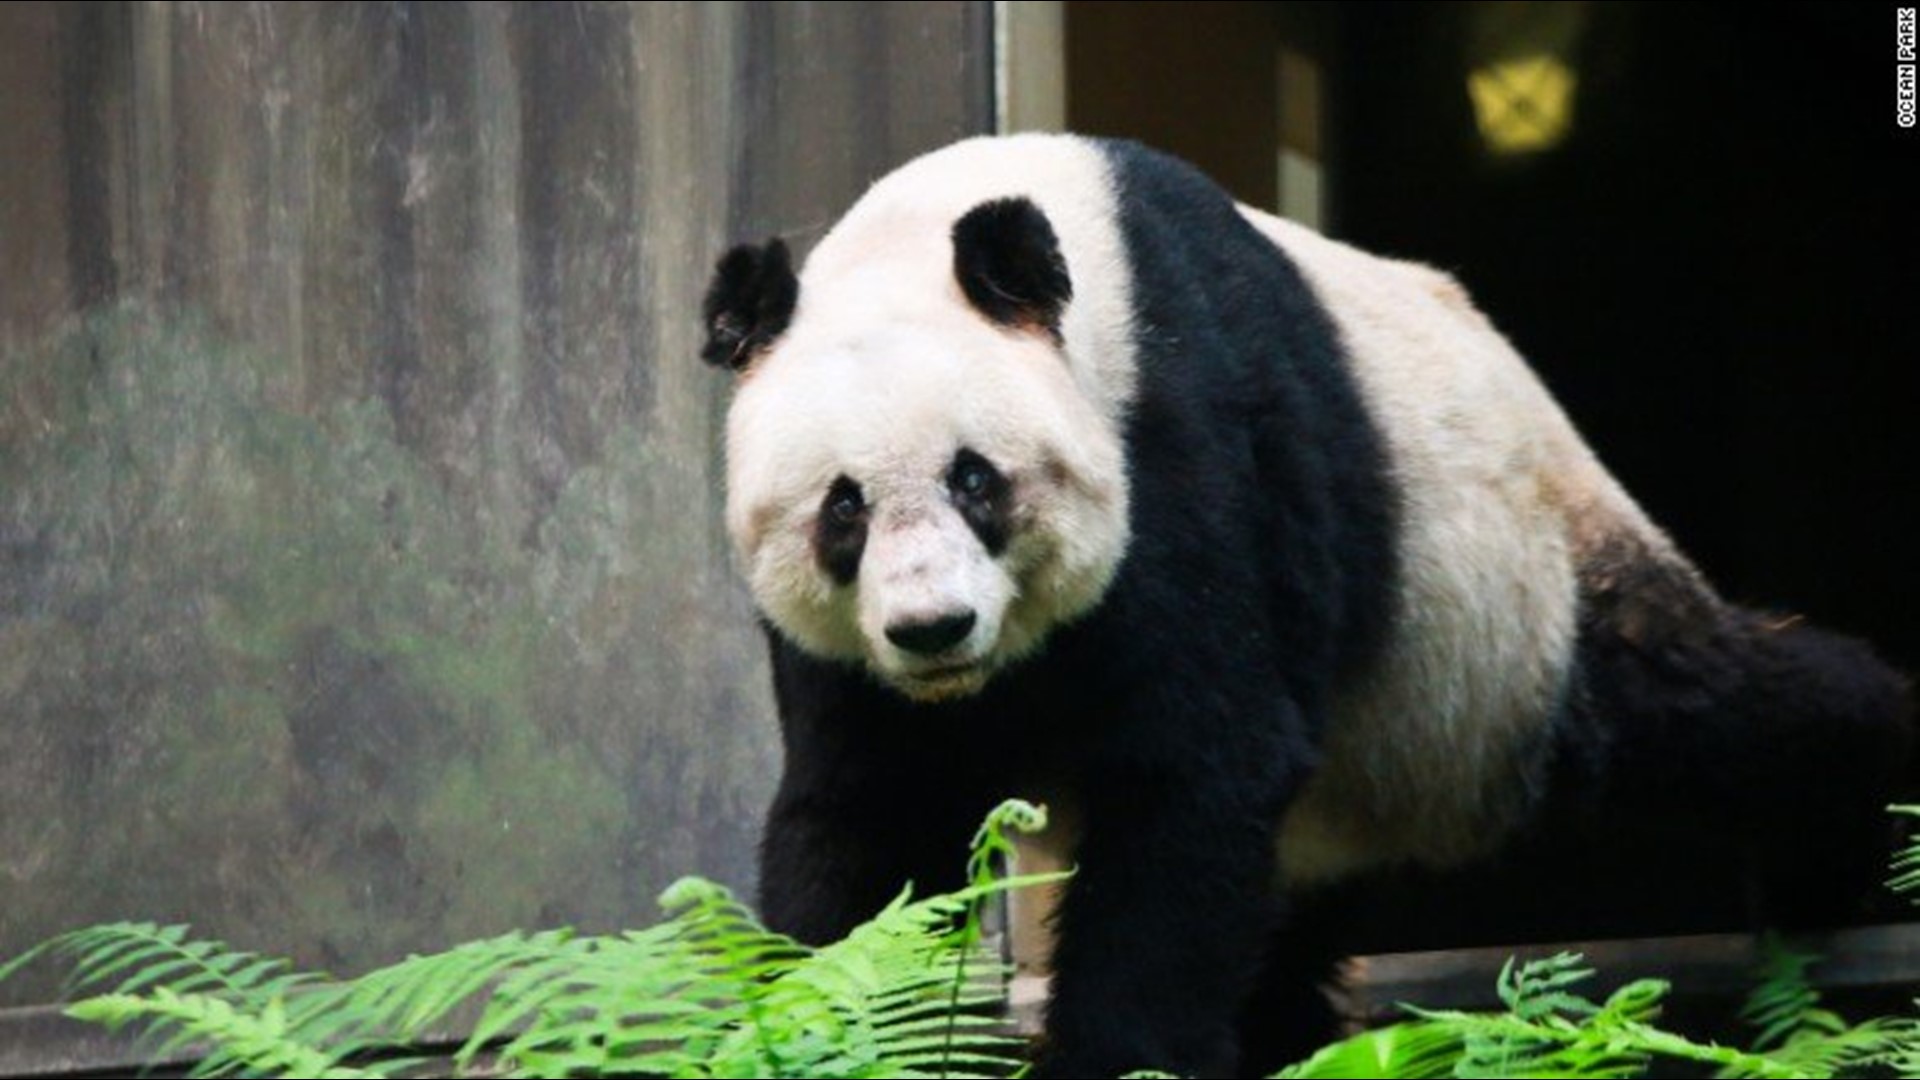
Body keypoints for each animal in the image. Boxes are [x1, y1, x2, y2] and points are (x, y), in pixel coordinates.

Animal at [698, 134, 1913, 1078]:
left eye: (975, 479)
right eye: (842, 509)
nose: (933, 628)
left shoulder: (1188, 448)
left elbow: (1197, 772)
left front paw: (1122, 1053)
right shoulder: (850, 670)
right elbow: (866, 820)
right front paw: (813, 1016)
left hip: (1510, 604)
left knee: (1699, 702)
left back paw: (1842, 851)